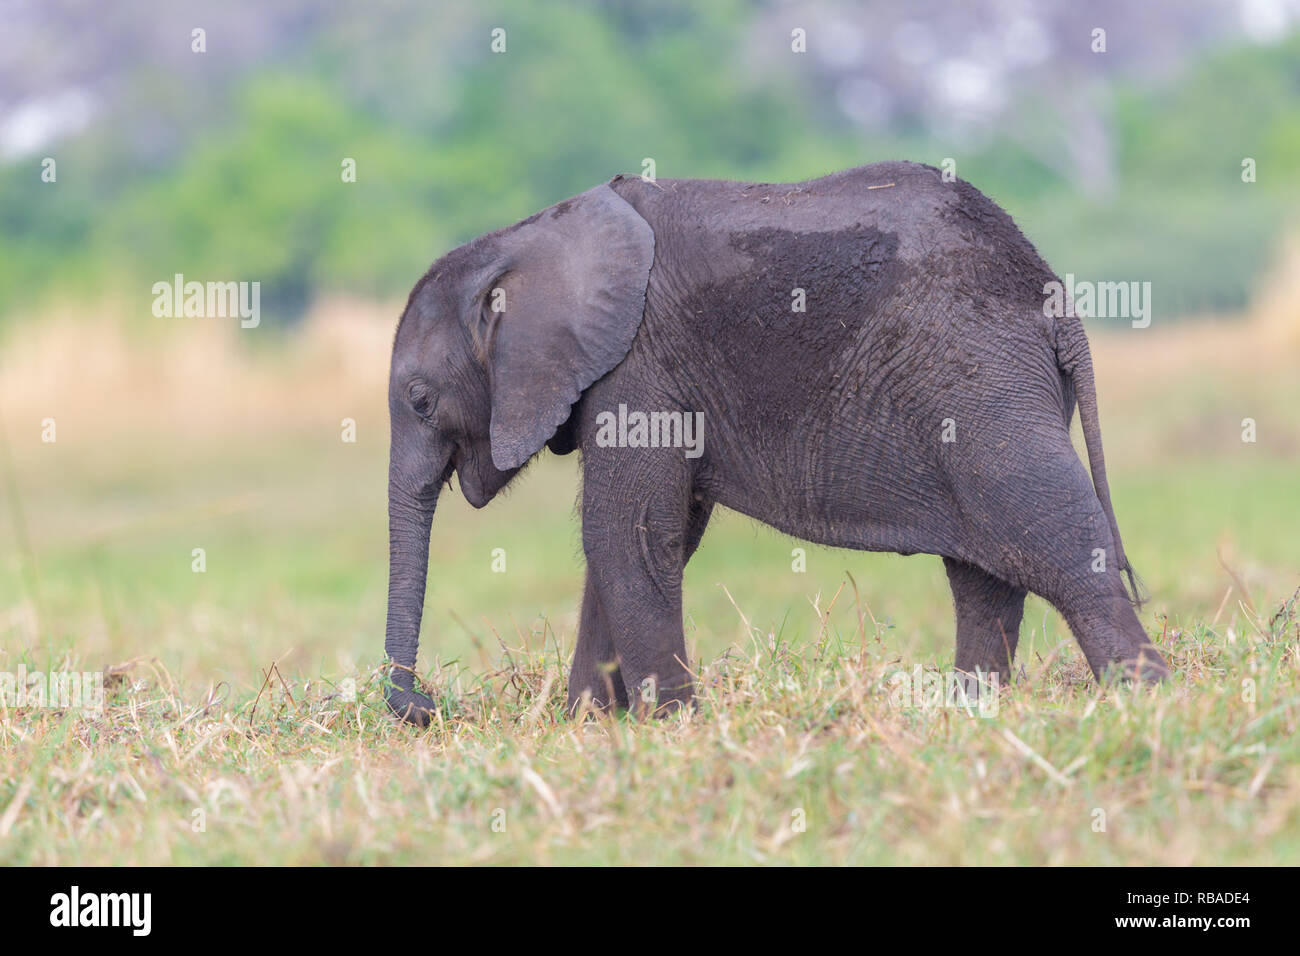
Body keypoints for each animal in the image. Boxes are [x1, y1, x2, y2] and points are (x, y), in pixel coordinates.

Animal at [383, 161, 1170, 726]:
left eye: (420, 400)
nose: (424, 708)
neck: (524, 240)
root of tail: (1055, 300)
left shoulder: (635, 367)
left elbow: (629, 532)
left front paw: (674, 730)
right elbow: (654, 535)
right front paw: (588, 729)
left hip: (983, 384)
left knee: (1050, 536)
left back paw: (1142, 700)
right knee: (985, 575)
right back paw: (970, 714)